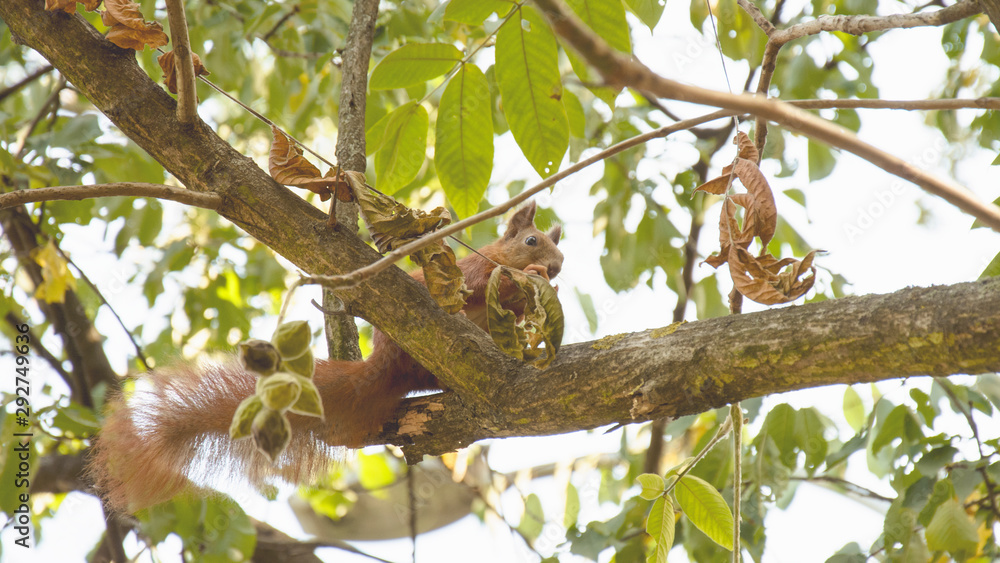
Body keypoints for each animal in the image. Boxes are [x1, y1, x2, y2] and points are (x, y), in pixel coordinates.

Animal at [89, 202, 564, 511]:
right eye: (532, 239)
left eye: (562, 250)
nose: (557, 266)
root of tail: (383, 365)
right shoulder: (475, 273)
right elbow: (487, 286)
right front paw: (532, 276)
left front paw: (545, 292)